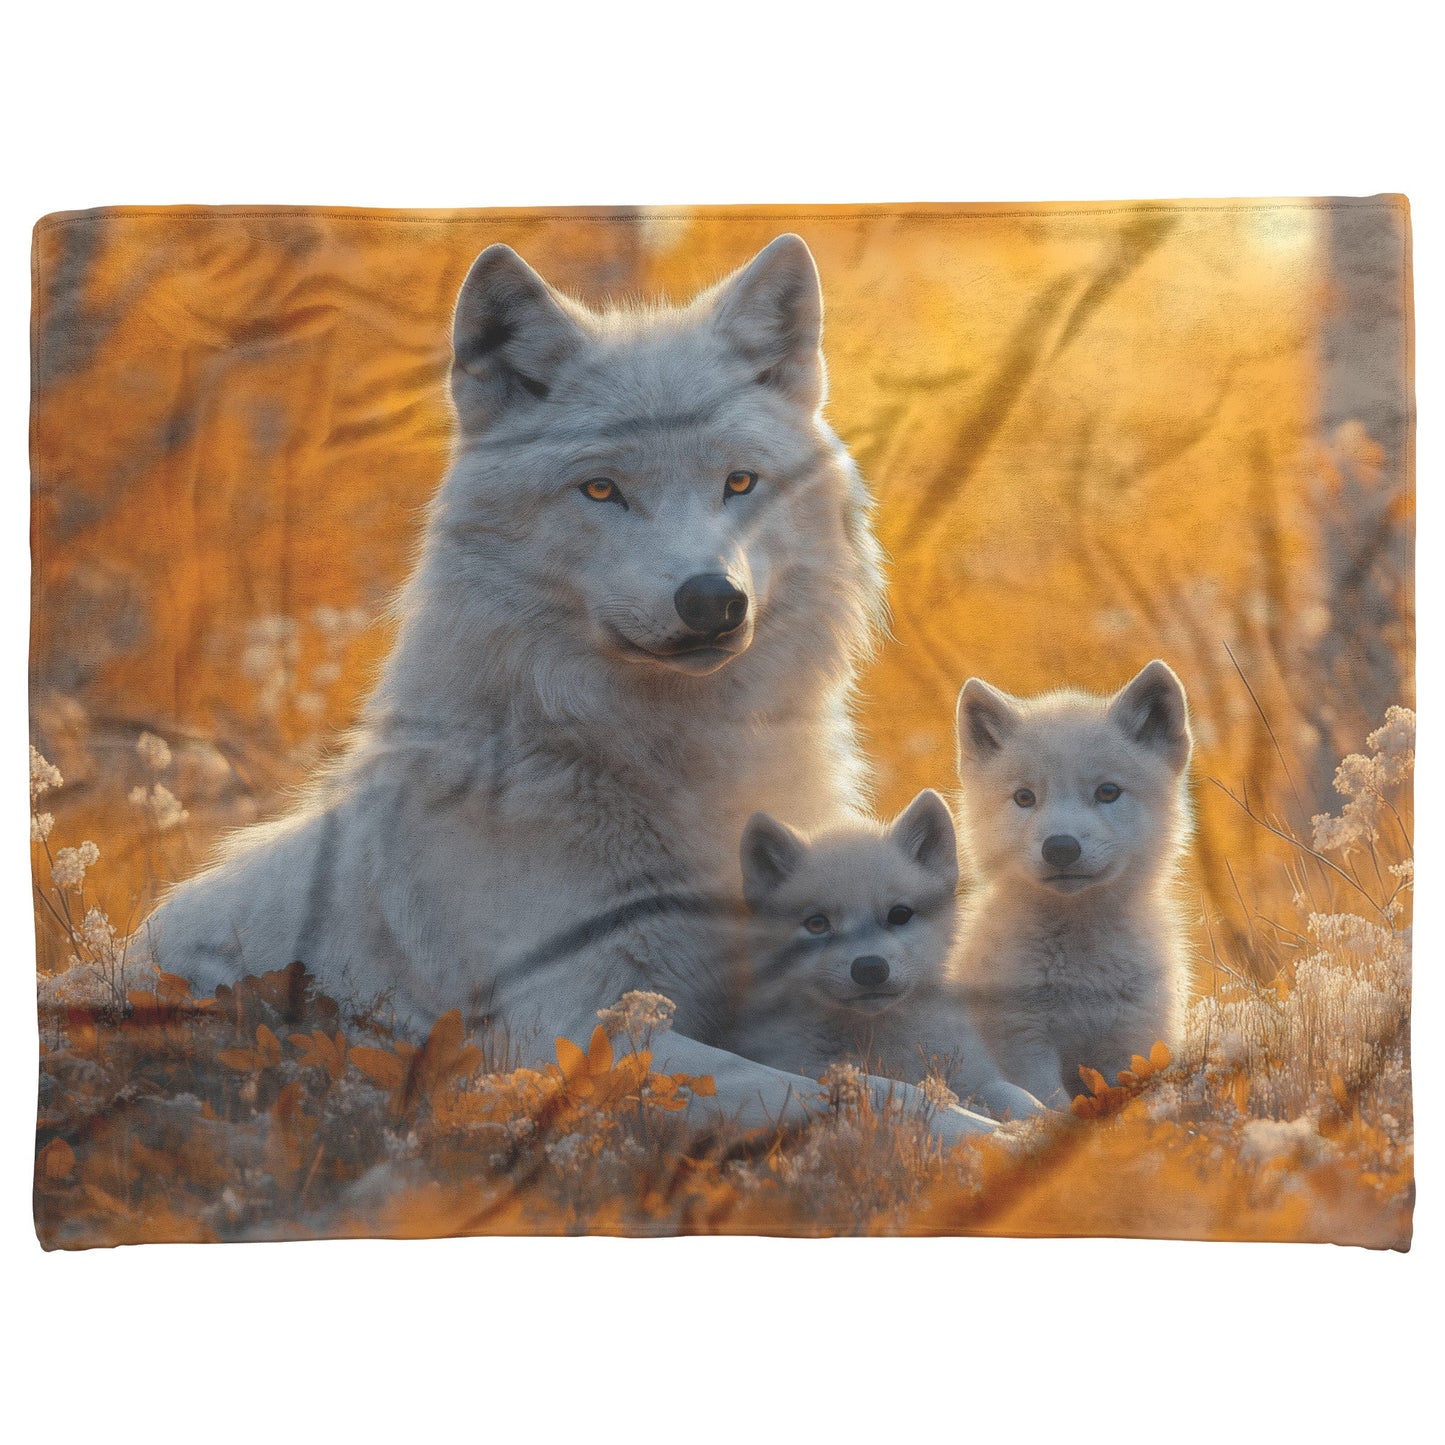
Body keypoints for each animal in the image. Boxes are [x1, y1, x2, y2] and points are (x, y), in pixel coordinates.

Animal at [141, 234, 995, 1138]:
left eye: (739, 482)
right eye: (601, 488)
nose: (712, 599)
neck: (678, 766)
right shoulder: (566, 1027)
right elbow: (864, 1095)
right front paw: (995, 1141)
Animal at [734, 789, 1043, 1118]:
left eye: (899, 915)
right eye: (817, 924)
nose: (870, 969)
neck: (877, 1035)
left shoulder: (976, 1074)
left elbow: (1013, 1094)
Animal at [951, 660, 1195, 1104]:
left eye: (1108, 792)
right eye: (1024, 798)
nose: (1061, 848)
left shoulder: (1130, 1042)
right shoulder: (1025, 1043)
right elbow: (1054, 1107)